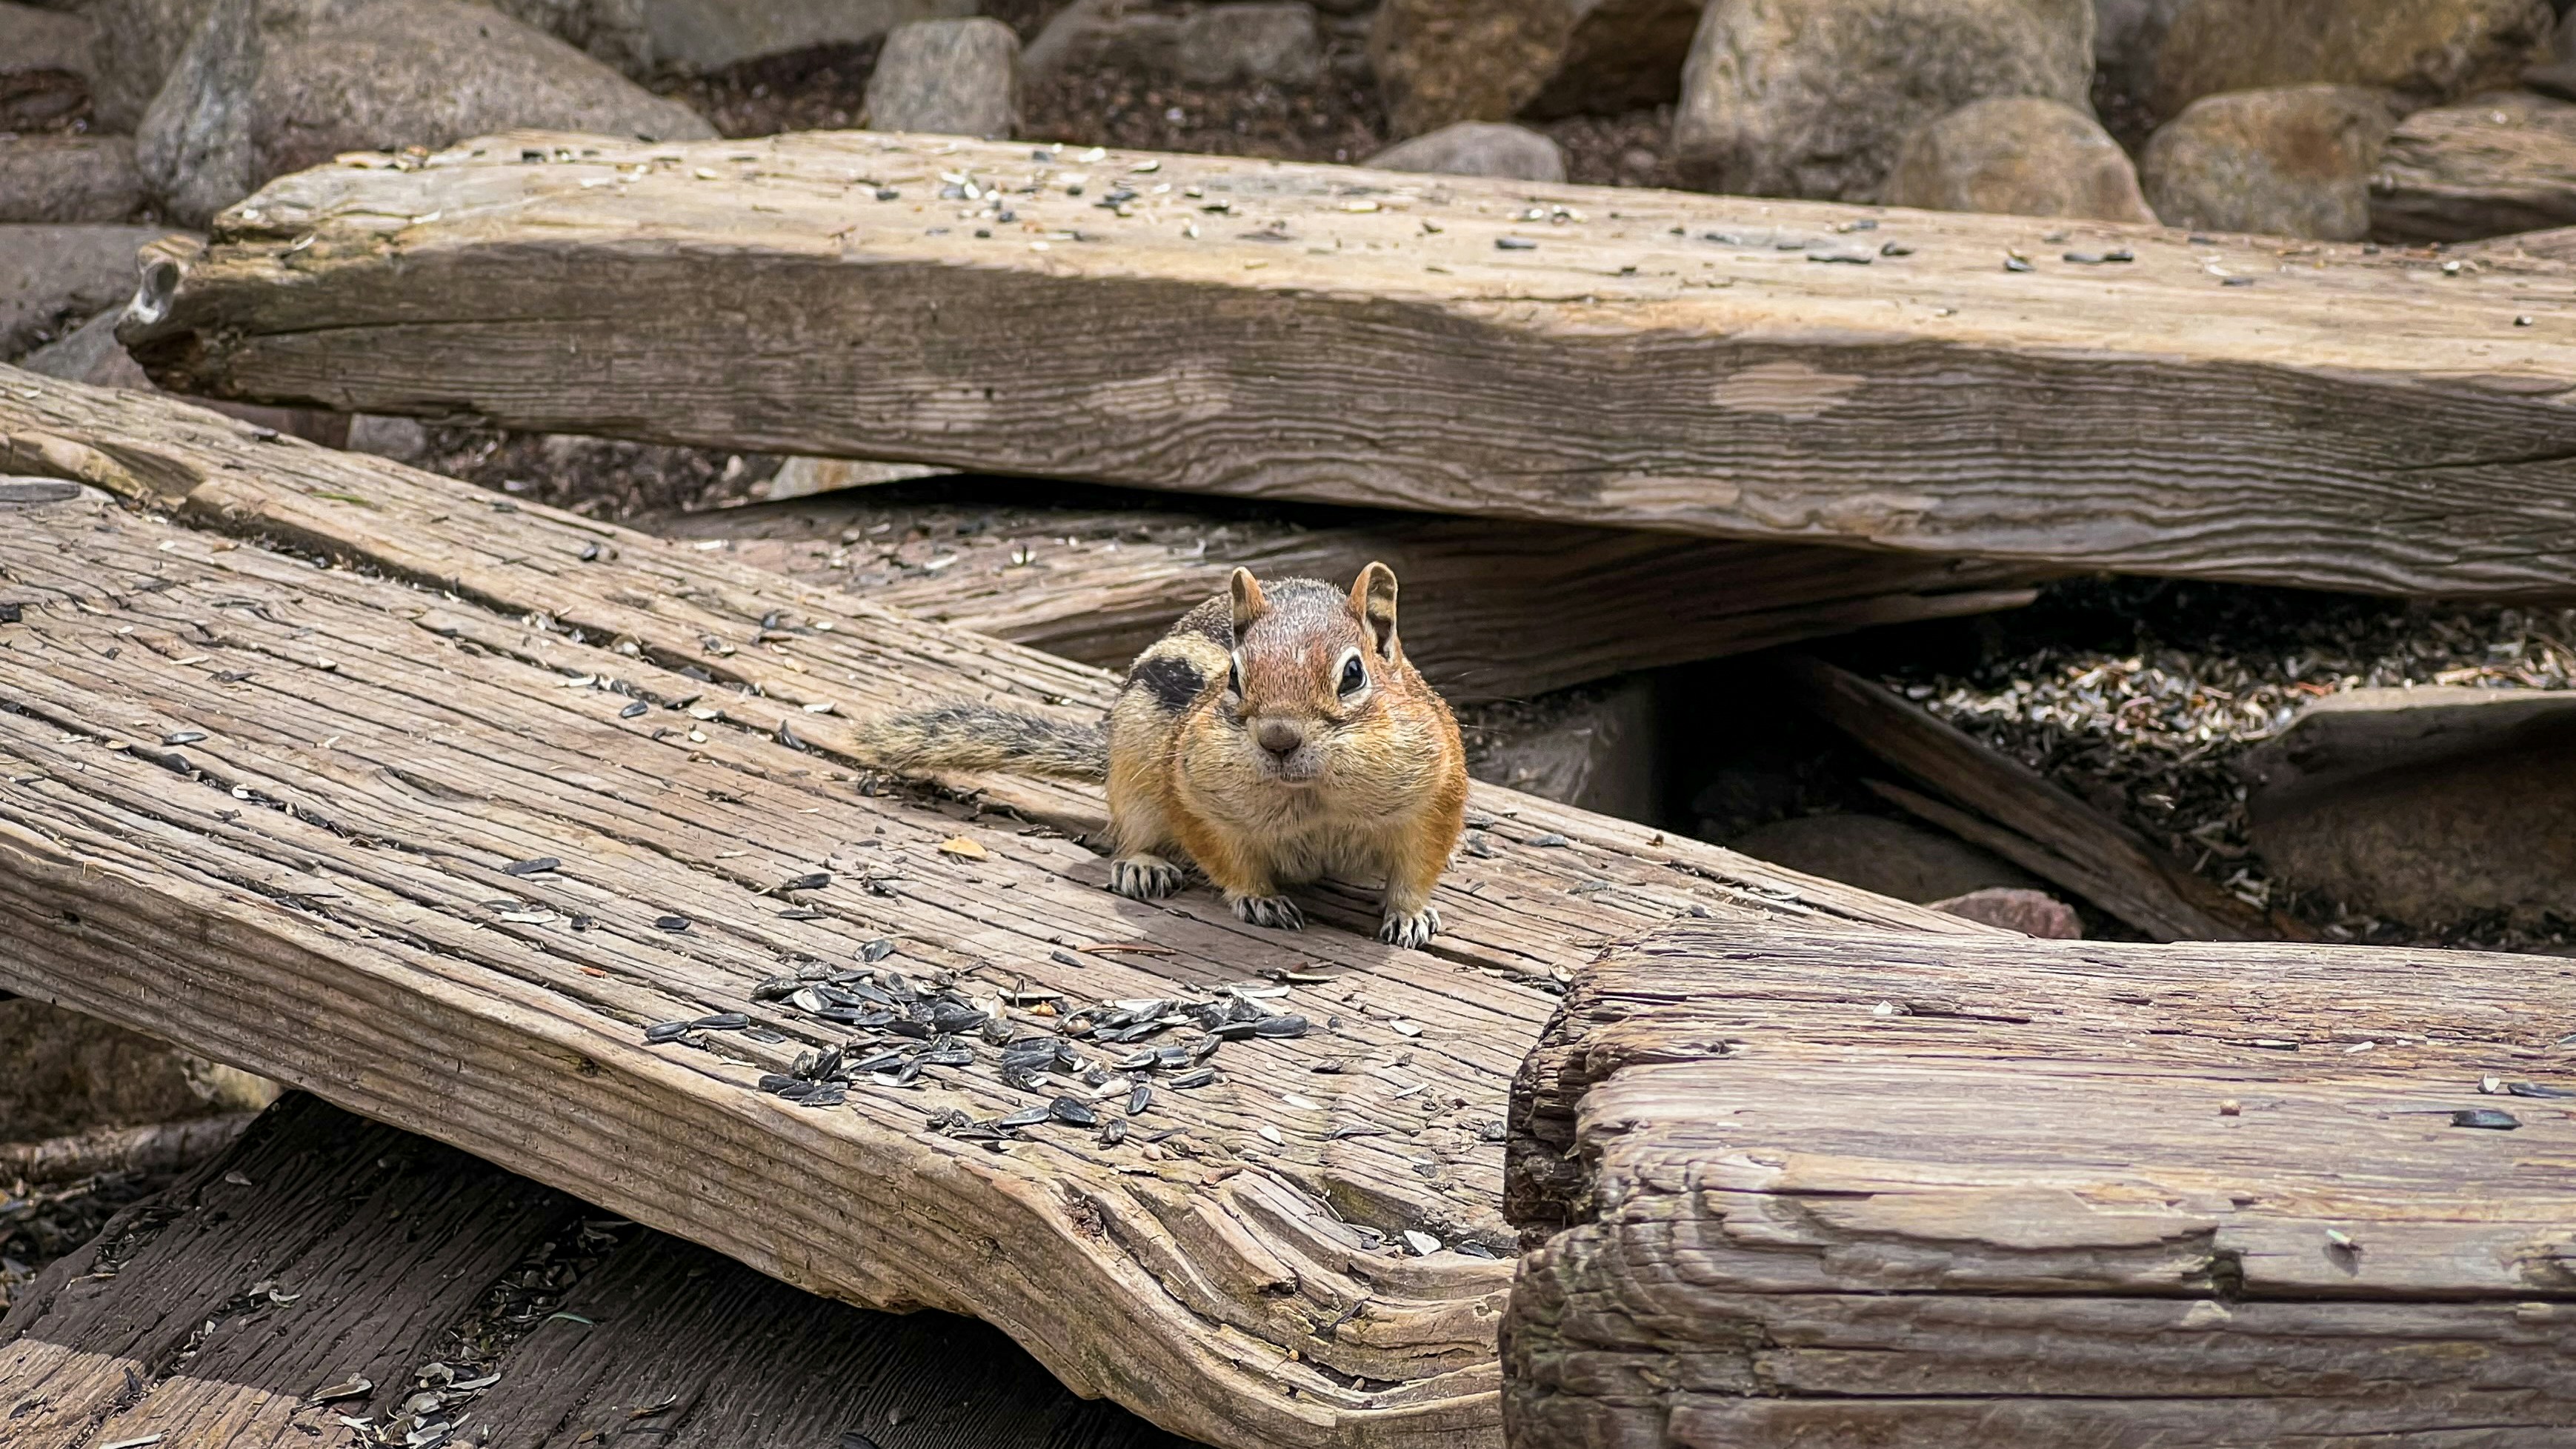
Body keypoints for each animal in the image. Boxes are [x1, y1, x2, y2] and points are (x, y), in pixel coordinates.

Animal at [849, 562, 1469, 948]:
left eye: (1353, 674)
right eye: (1235, 678)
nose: (1278, 738)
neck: (1312, 798)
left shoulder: (1434, 798)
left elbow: (1417, 867)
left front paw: (1410, 915)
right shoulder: (1195, 798)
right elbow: (1230, 860)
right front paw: (1258, 901)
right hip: (1135, 780)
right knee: (1133, 833)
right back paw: (1143, 866)